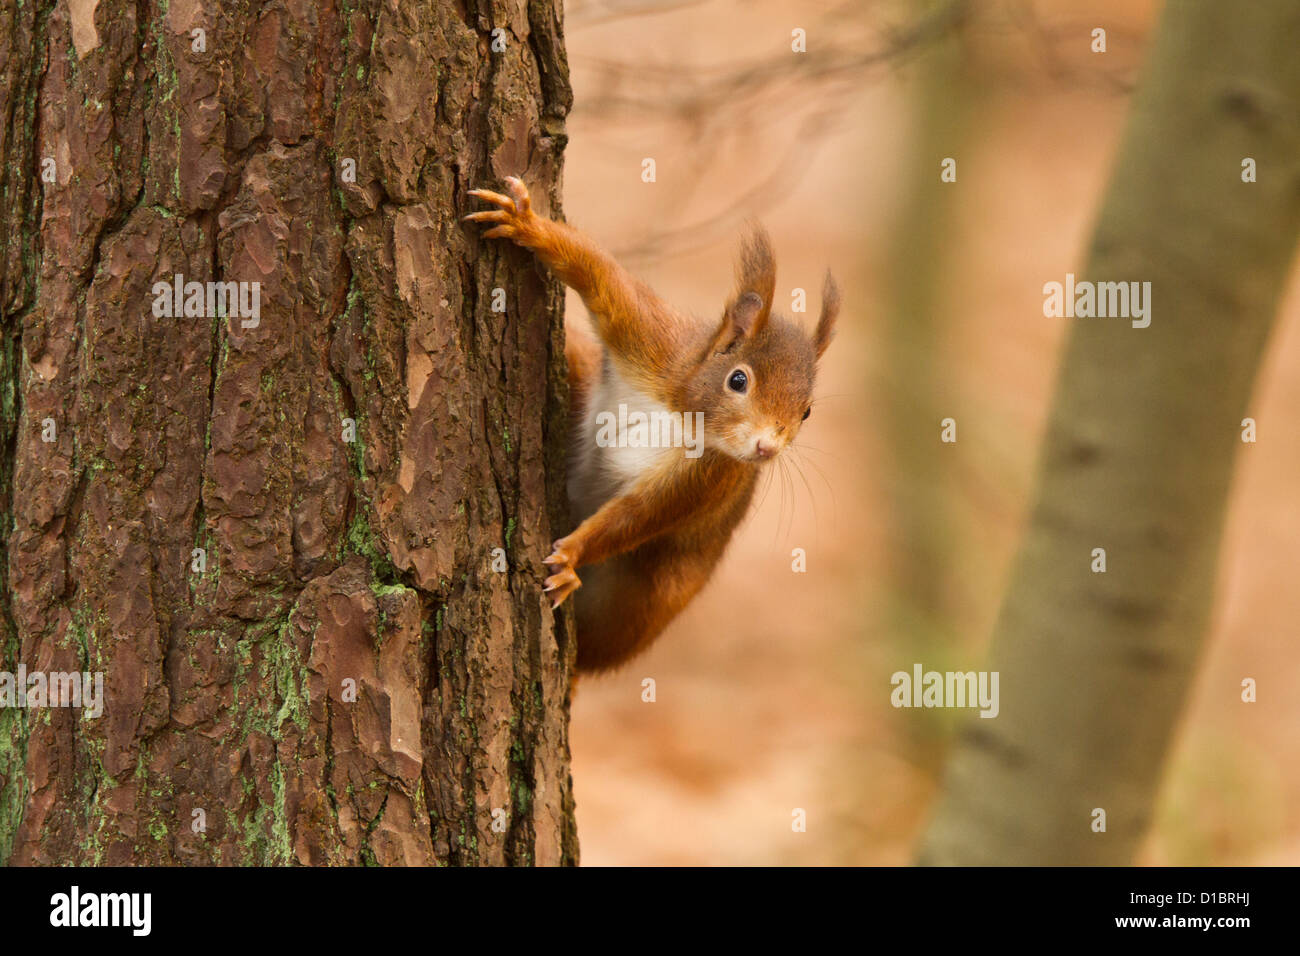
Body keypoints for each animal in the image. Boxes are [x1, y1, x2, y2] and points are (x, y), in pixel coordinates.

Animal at [465, 176, 839, 674]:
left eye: (807, 411)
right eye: (738, 379)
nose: (766, 449)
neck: (684, 415)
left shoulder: (710, 479)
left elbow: (638, 516)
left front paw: (571, 558)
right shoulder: (654, 344)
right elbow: (601, 278)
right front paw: (526, 223)